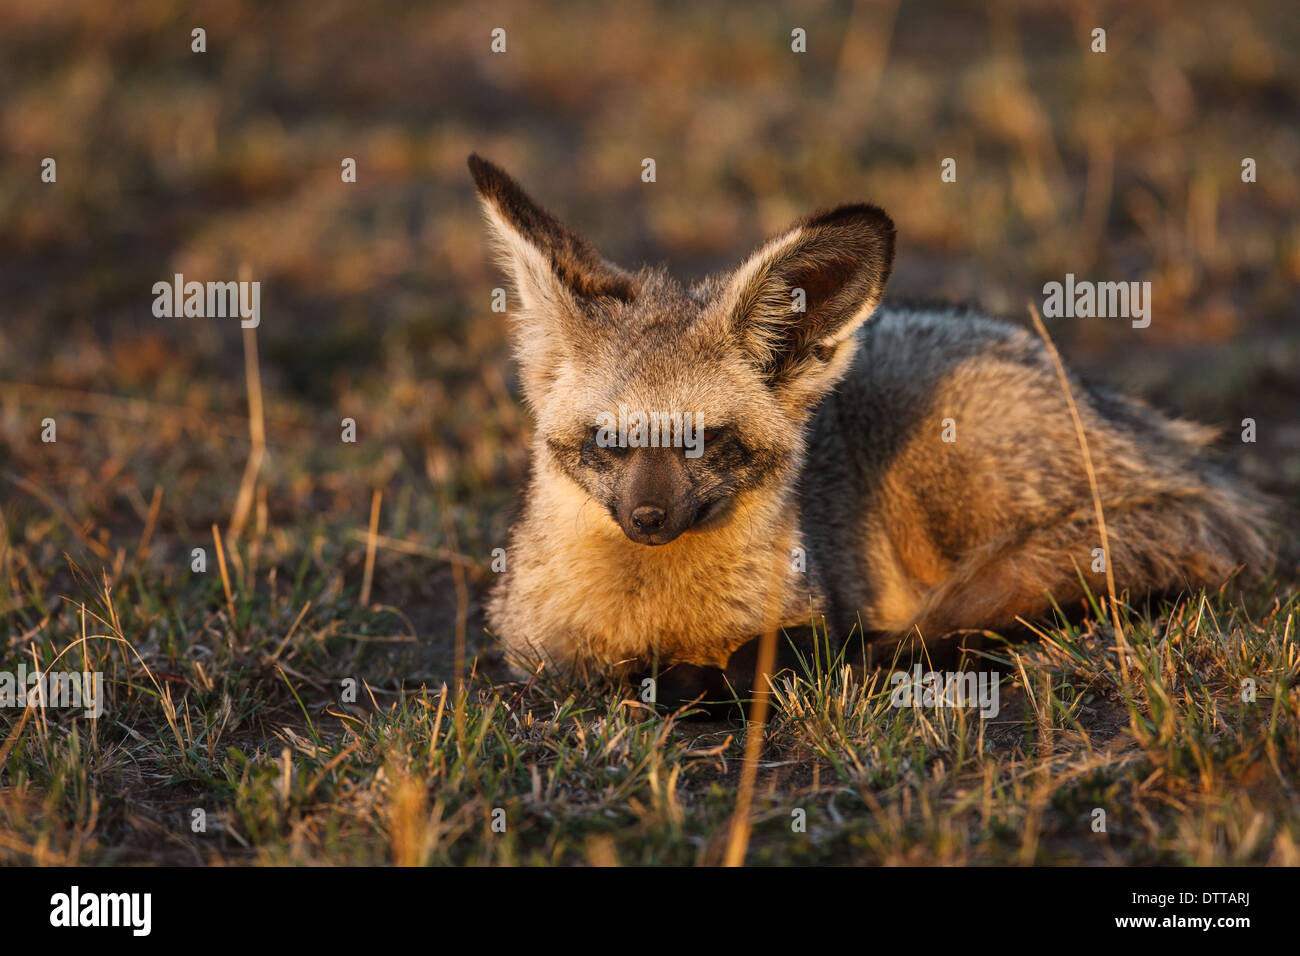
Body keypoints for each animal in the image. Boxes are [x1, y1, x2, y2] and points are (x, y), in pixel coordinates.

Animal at [468, 153, 1272, 703]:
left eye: (707, 440)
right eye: (608, 442)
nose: (648, 517)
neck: (661, 615)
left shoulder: (806, 613)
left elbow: (754, 659)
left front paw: (707, 681)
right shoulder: (539, 653)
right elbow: (604, 673)